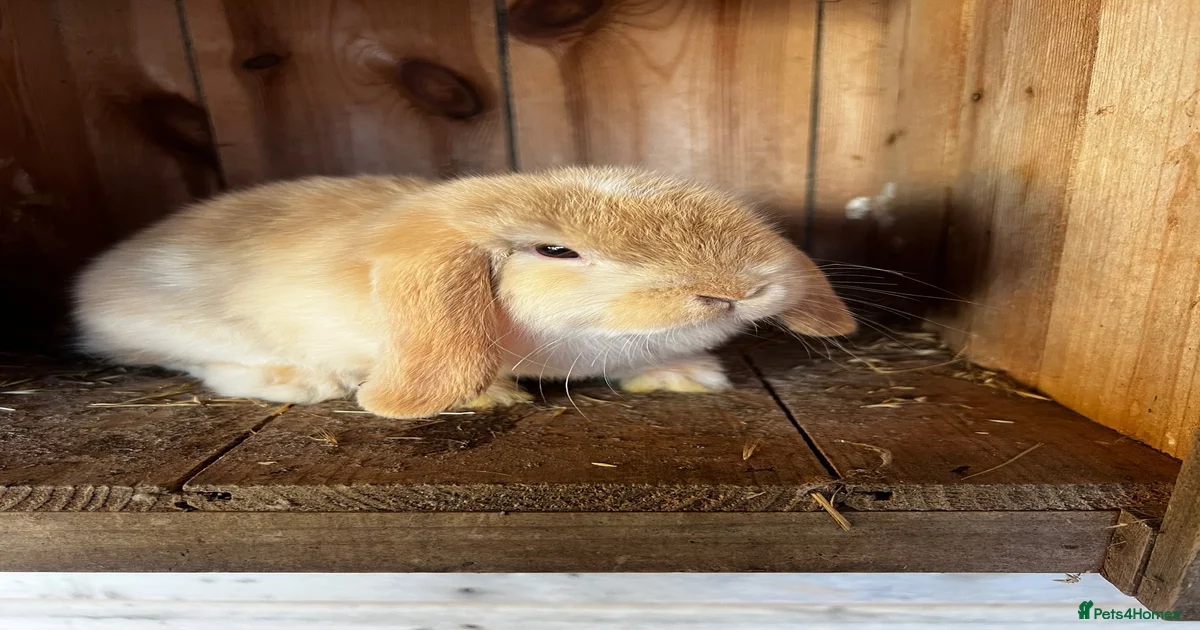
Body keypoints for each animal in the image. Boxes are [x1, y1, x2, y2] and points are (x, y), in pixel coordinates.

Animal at [73, 166, 856, 419]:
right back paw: (298, 381)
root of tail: (99, 278)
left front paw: (688, 376)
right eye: (555, 250)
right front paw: (489, 395)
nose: (736, 290)